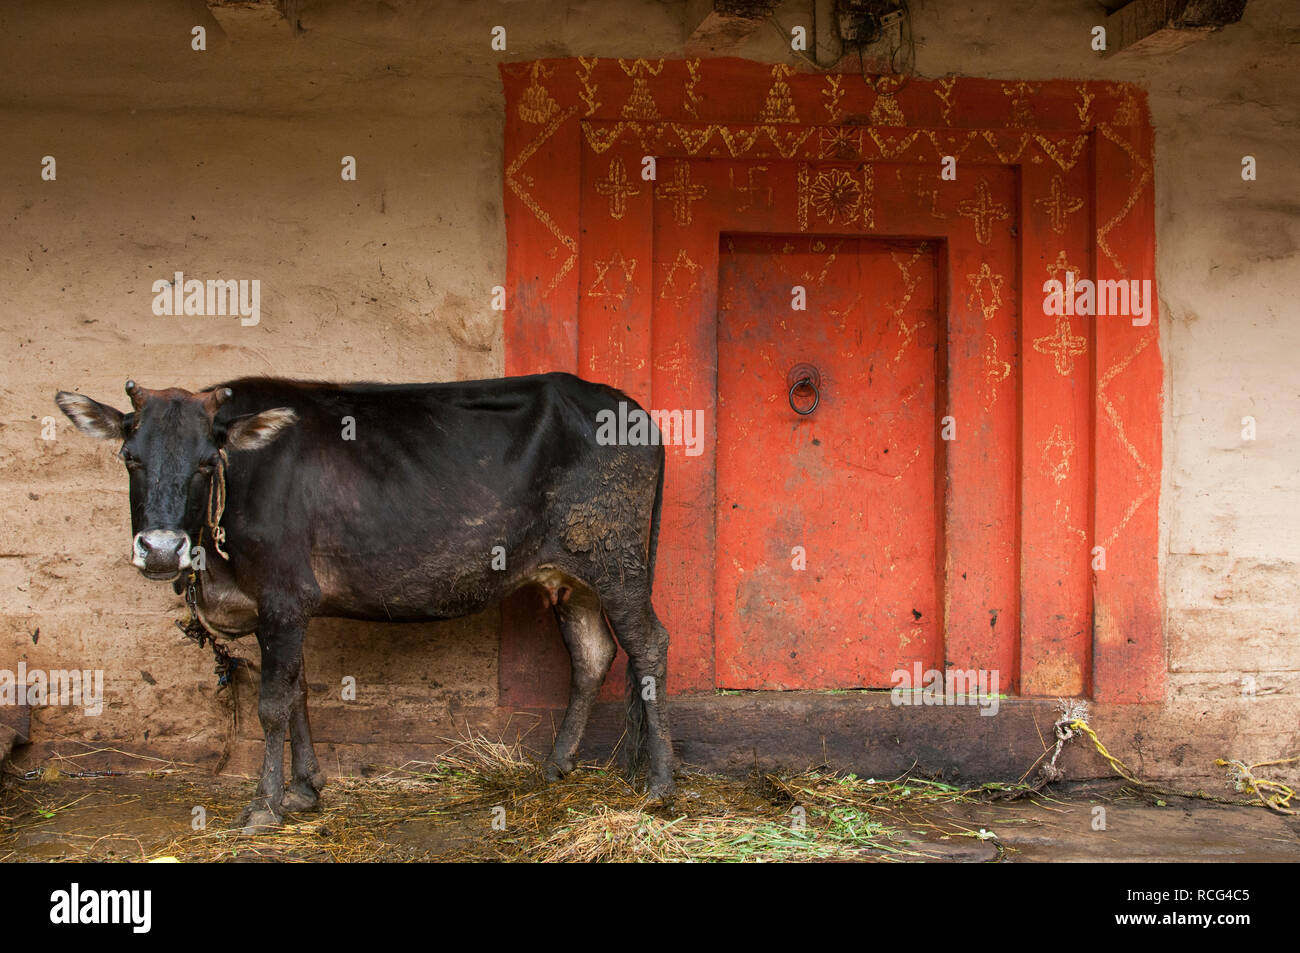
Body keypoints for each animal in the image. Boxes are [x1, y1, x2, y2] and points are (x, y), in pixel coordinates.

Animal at [55, 374, 675, 832]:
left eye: (209, 461)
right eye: (130, 457)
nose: (160, 549)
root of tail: (632, 409)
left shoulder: (285, 595)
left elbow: (271, 705)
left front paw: (264, 806)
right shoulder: (279, 608)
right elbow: (298, 692)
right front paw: (305, 791)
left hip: (618, 561)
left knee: (649, 646)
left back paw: (660, 785)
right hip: (573, 573)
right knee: (593, 653)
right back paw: (556, 766)